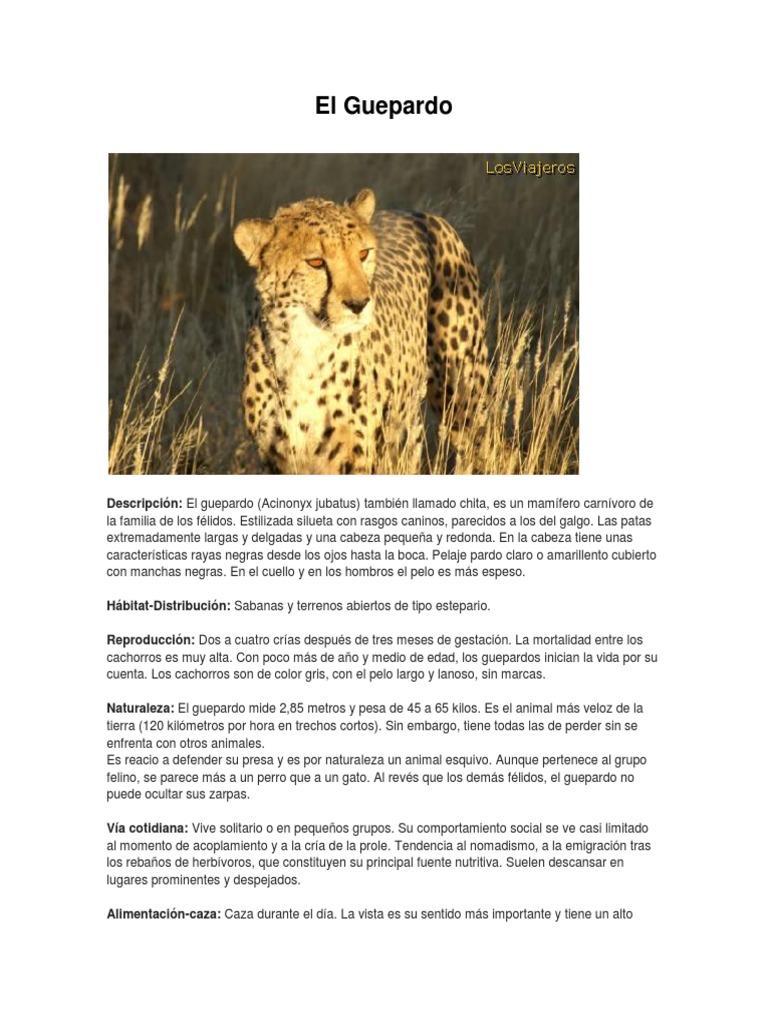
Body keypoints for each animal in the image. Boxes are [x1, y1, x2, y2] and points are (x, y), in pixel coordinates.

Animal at [233, 188, 488, 474]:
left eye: (363, 254)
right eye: (316, 262)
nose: (359, 303)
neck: (306, 348)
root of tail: (419, 213)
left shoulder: (359, 457)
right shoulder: (278, 460)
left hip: (462, 399)